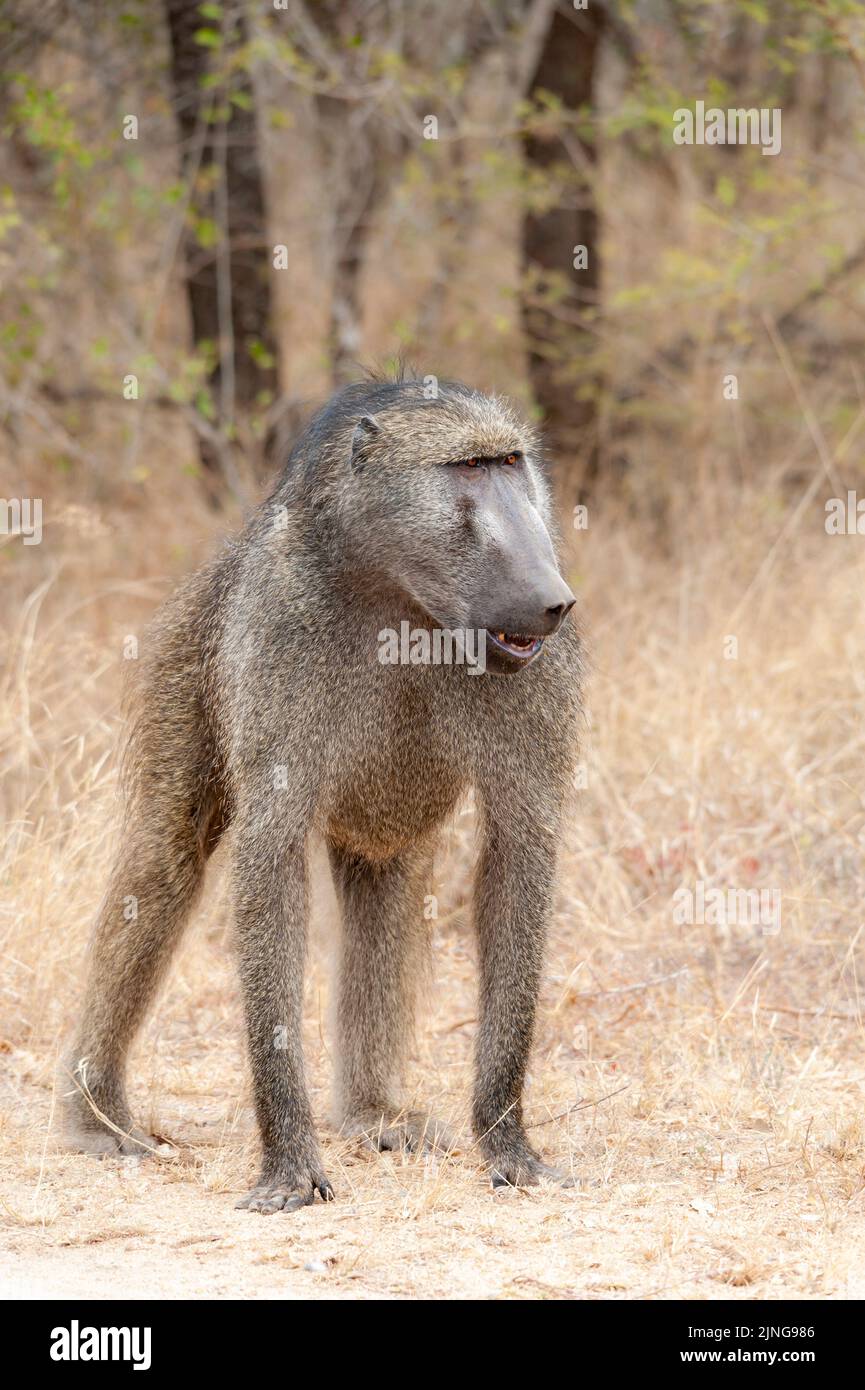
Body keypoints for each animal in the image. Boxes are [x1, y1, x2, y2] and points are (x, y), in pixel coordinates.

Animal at [65, 376, 584, 1214]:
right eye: (468, 469)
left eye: (510, 463)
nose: (551, 598)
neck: (398, 596)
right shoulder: (277, 634)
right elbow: (270, 854)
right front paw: (288, 1162)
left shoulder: (540, 668)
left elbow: (516, 852)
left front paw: (508, 1142)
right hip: (187, 648)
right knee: (163, 863)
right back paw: (92, 1114)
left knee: (385, 877)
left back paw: (373, 1113)